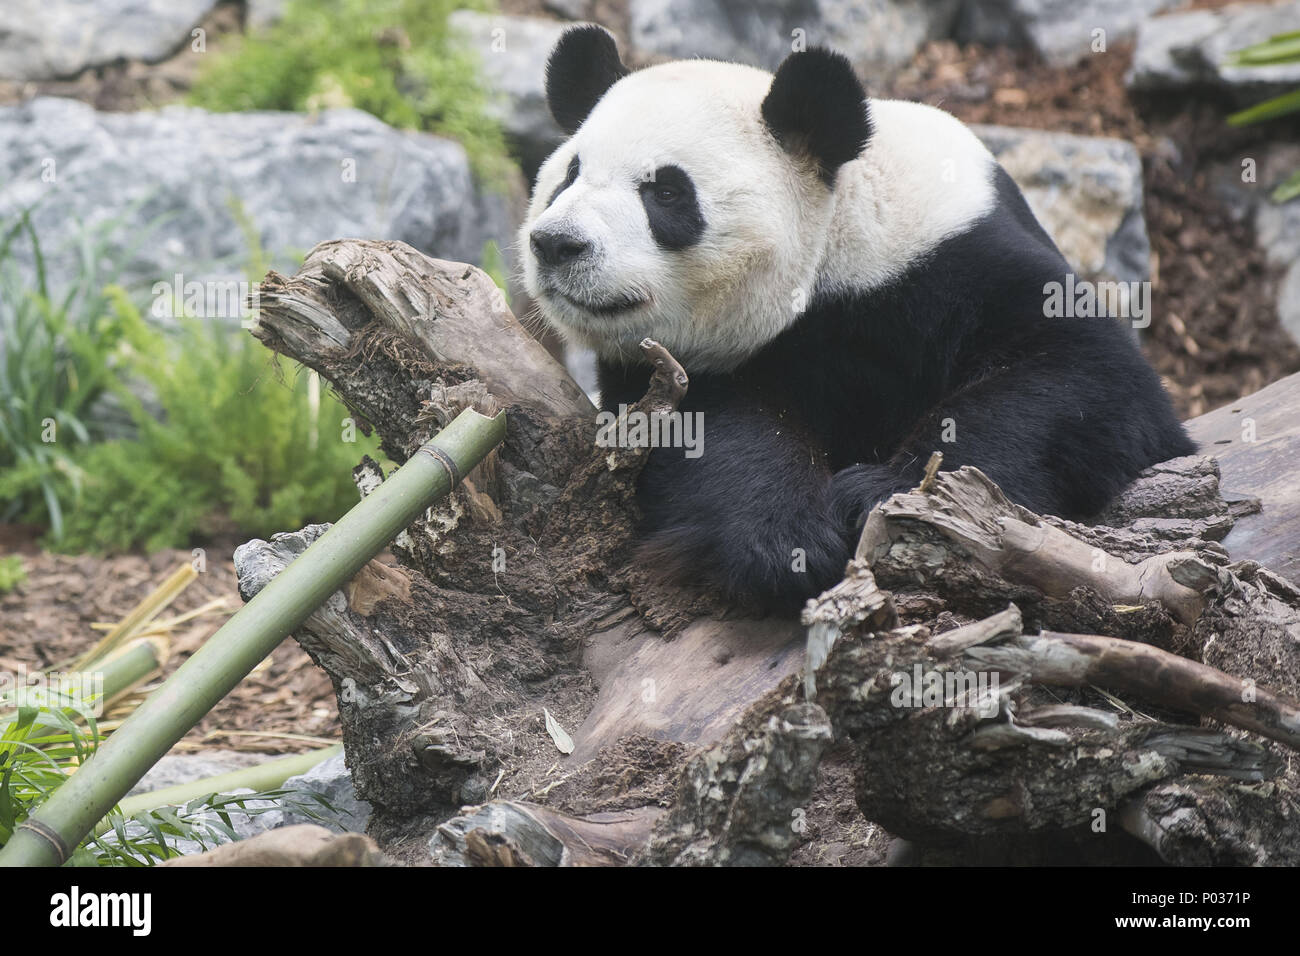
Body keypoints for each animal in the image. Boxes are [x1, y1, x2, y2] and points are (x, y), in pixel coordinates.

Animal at [520, 25, 1196, 613]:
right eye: (569, 176)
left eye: (665, 192)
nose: (556, 243)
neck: (830, 256)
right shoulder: (679, 367)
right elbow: (708, 432)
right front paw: (786, 541)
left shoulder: (956, 253)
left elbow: (1079, 375)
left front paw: (884, 495)